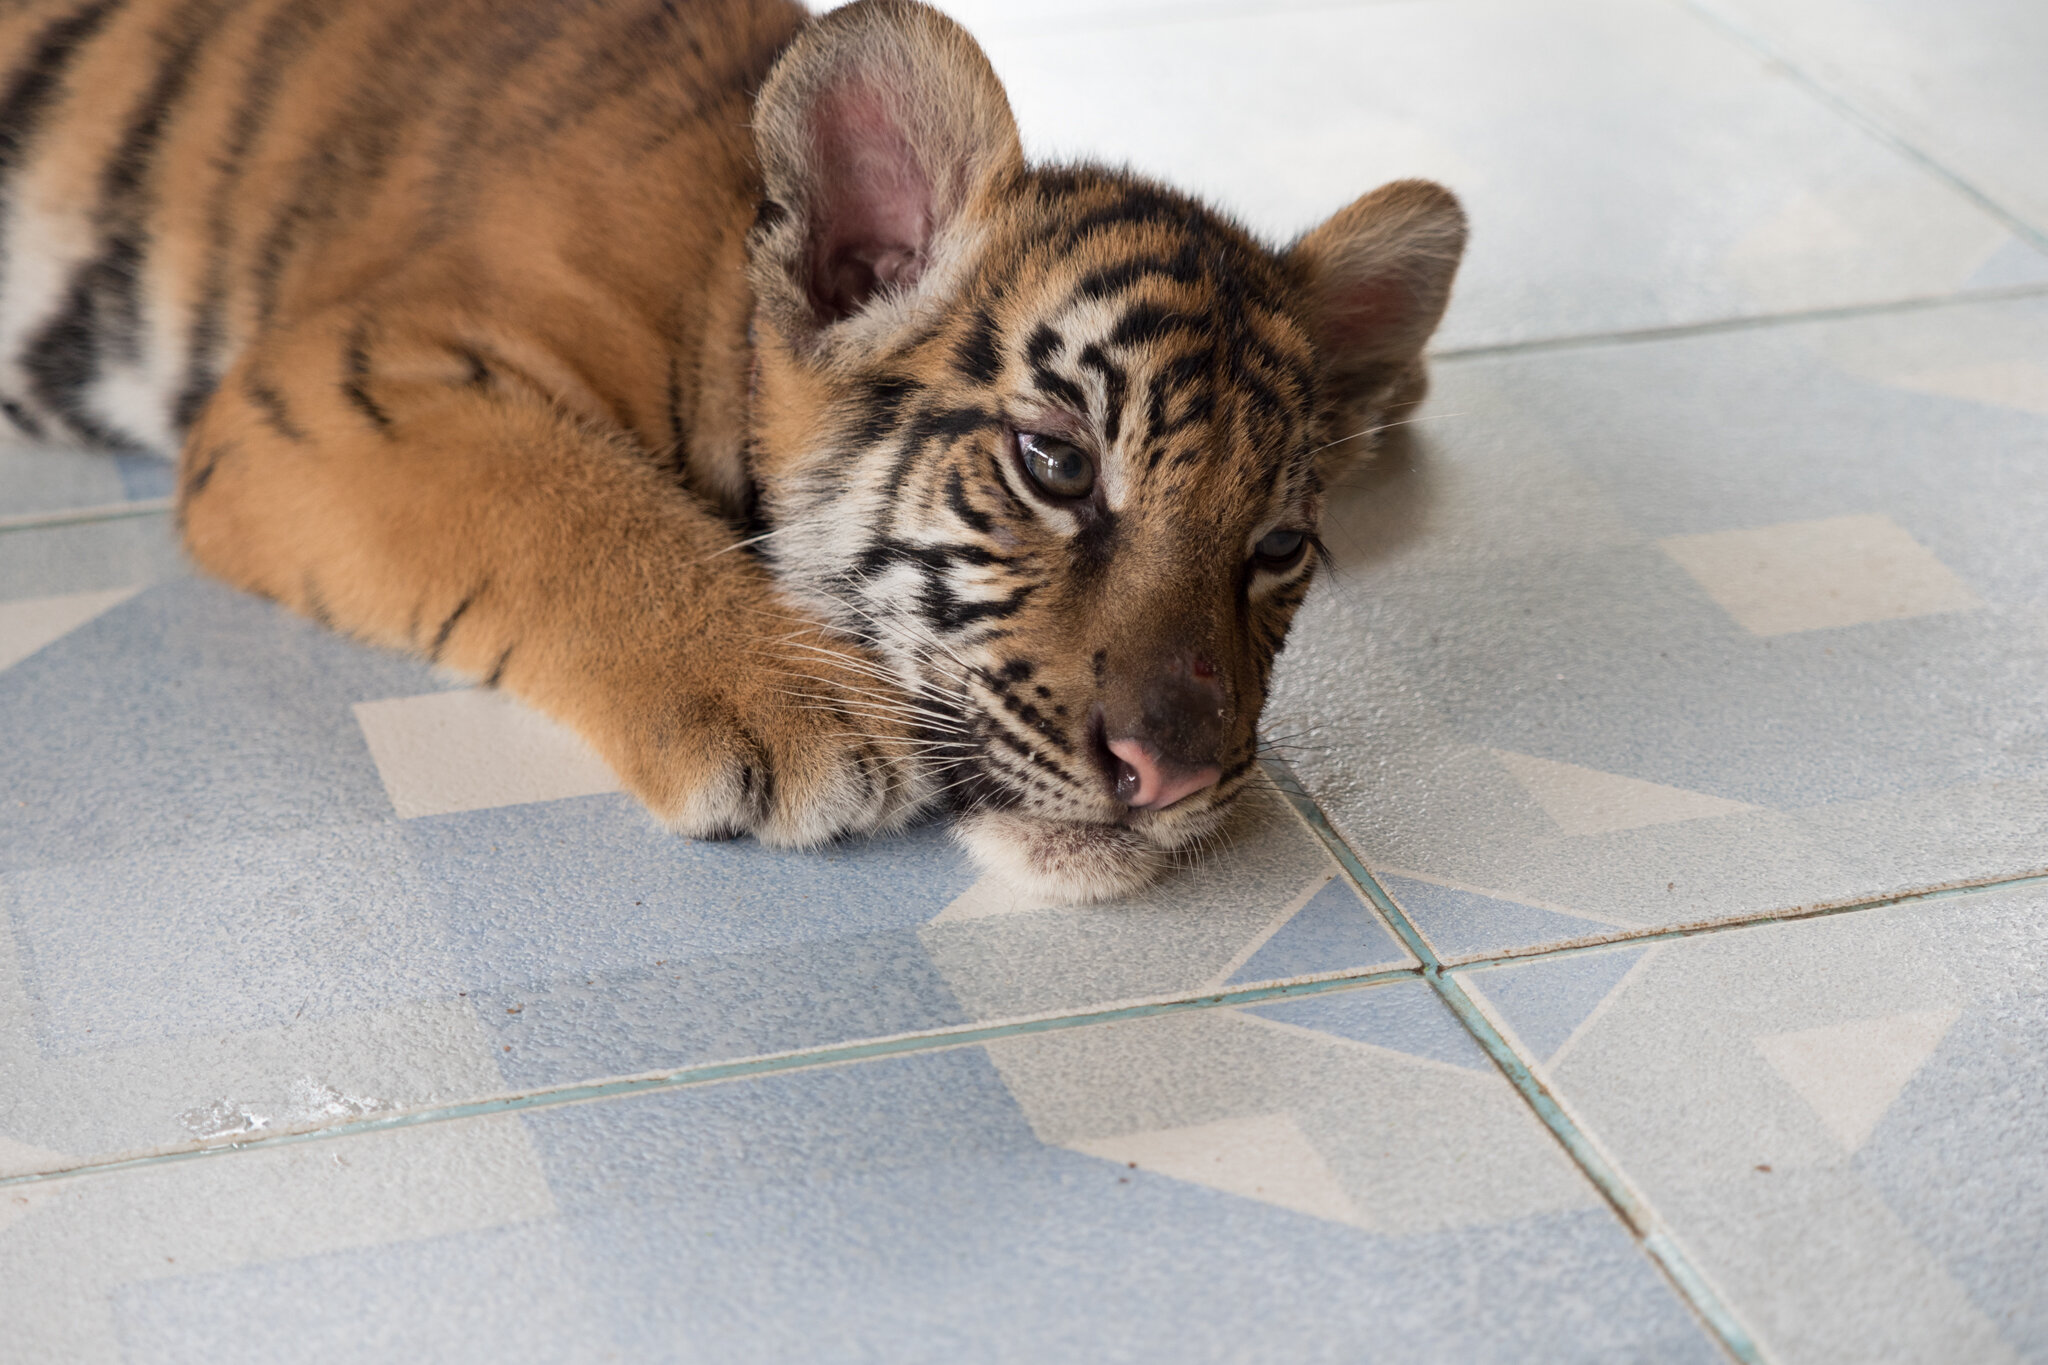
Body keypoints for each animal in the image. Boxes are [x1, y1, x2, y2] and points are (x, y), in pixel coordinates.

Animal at [0, 0, 1465, 902]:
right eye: (1055, 465)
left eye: (1276, 546)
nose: (1179, 775)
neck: (719, 283)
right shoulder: (335, 382)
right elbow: (569, 502)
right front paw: (803, 714)